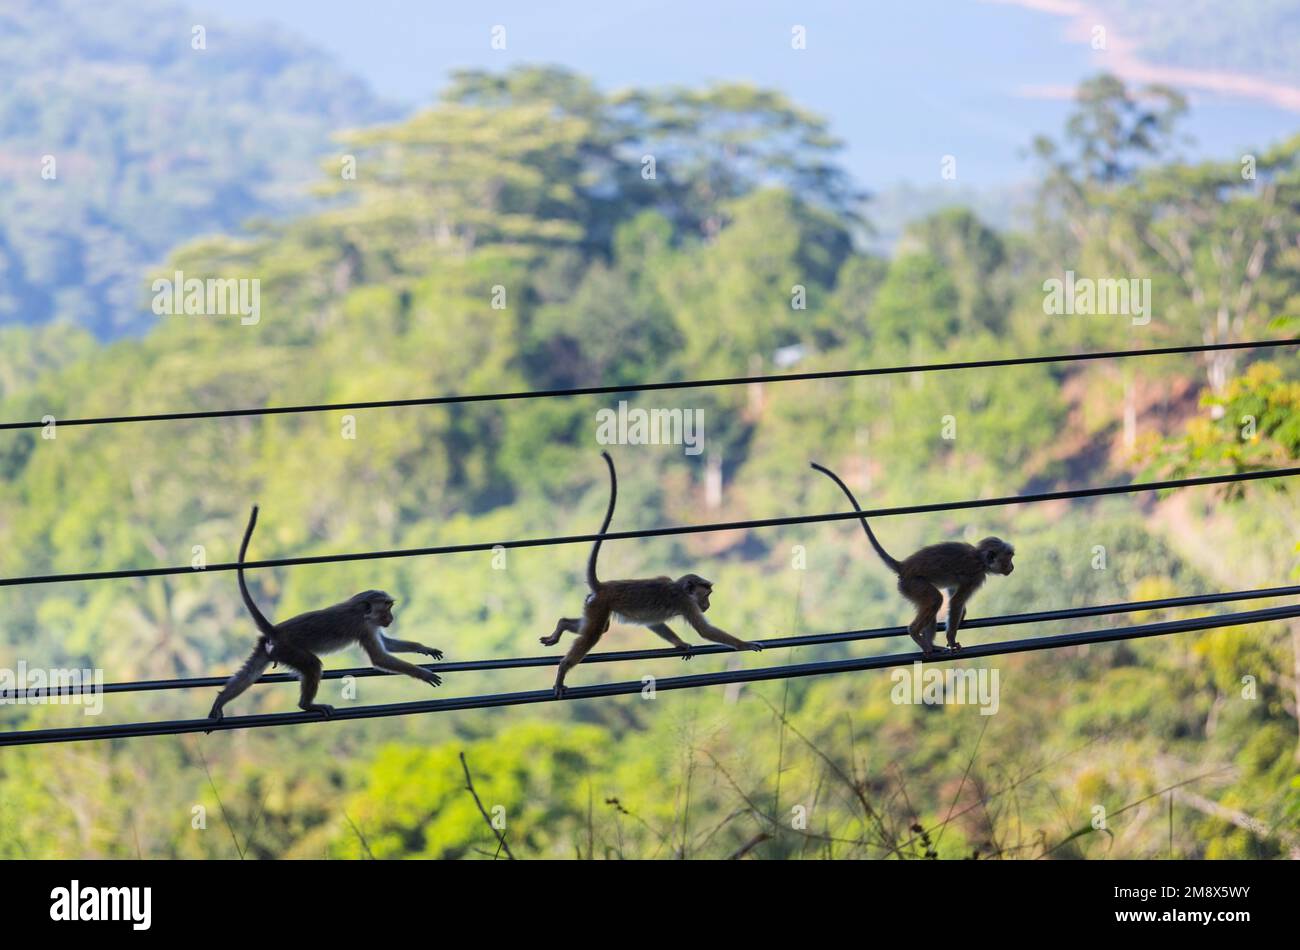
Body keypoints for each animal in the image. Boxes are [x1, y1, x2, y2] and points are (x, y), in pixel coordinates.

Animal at [206, 506, 443, 728]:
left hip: (269, 649)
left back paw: (221, 700)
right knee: (312, 665)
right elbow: (380, 658)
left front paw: (424, 648)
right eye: (387, 608)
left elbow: (388, 644)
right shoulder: (362, 628)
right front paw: (422, 673)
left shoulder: (372, 626)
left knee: (250, 673)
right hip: (290, 650)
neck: (363, 612)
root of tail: (275, 631)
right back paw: (307, 705)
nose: (391, 618)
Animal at [541, 452, 763, 696]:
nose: (708, 605)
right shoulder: (687, 604)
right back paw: (563, 668)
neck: (679, 587)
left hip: (594, 605)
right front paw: (744, 644)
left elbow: (655, 624)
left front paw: (680, 643)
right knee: (592, 634)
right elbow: (705, 630)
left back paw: (561, 626)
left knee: (593, 627)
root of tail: (603, 586)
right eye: (707, 596)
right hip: (600, 605)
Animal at [810, 462, 1014, 656]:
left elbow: (952, 592)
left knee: (933, 601)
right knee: (935, 599)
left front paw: (961, 617)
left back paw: (929, 643)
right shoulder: (976, 576)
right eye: (1008, 558)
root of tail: (904, 566)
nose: (1011, 567)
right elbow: (955, 602)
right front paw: (951, 638)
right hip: (912, 584)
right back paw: (915, 632)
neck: (981, 559)